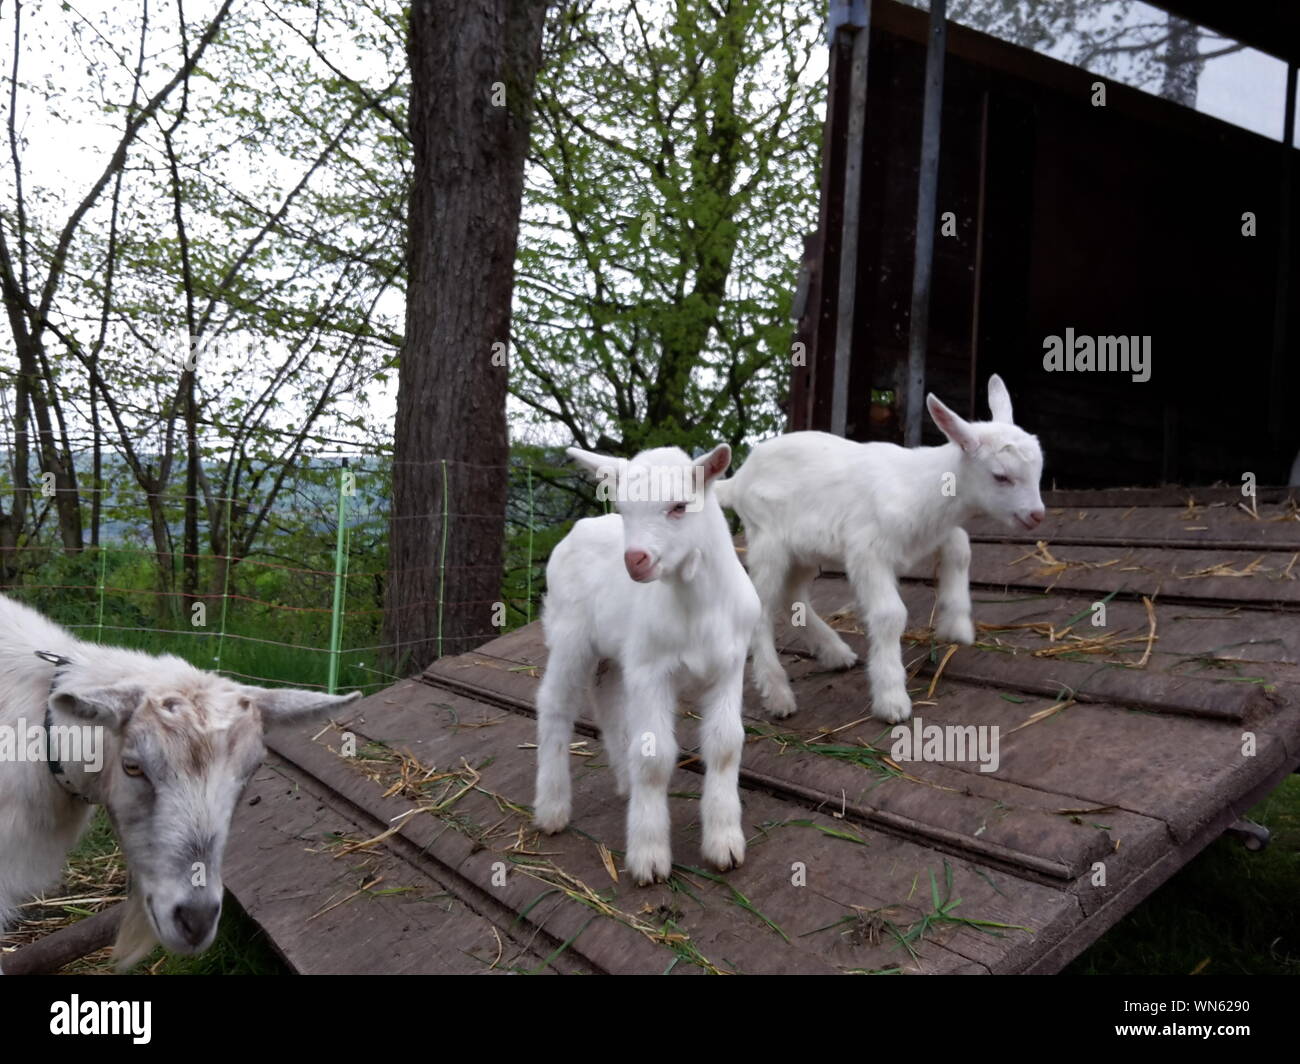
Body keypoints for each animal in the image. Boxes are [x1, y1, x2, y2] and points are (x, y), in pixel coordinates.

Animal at [533, 444, 760, 885]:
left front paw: (724, 842)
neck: (694, 609)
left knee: (607, 701)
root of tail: (581, 528)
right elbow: (654, 757)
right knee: (556, 705)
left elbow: (725, 745)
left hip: (614, 653)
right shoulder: (651, 670)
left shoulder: (728, 667)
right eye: (623, 509)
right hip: (570, 636)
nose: (634, 560)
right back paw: (551, 808)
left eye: (679, 506)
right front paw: (649, 856)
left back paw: (624, 783)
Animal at [716, 374, 1044, 723]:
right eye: (1001, 476)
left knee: (793, 594)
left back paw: (834, 652)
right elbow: (889, 615)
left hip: (804, 549)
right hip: (767, 540)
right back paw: (778, 693)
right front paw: (892, 698)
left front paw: (956, 625)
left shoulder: (935, 532)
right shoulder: (868, 552)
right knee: (762, 607)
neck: (924, 487)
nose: (1037, 515)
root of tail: (738, 480)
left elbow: (960, 548)